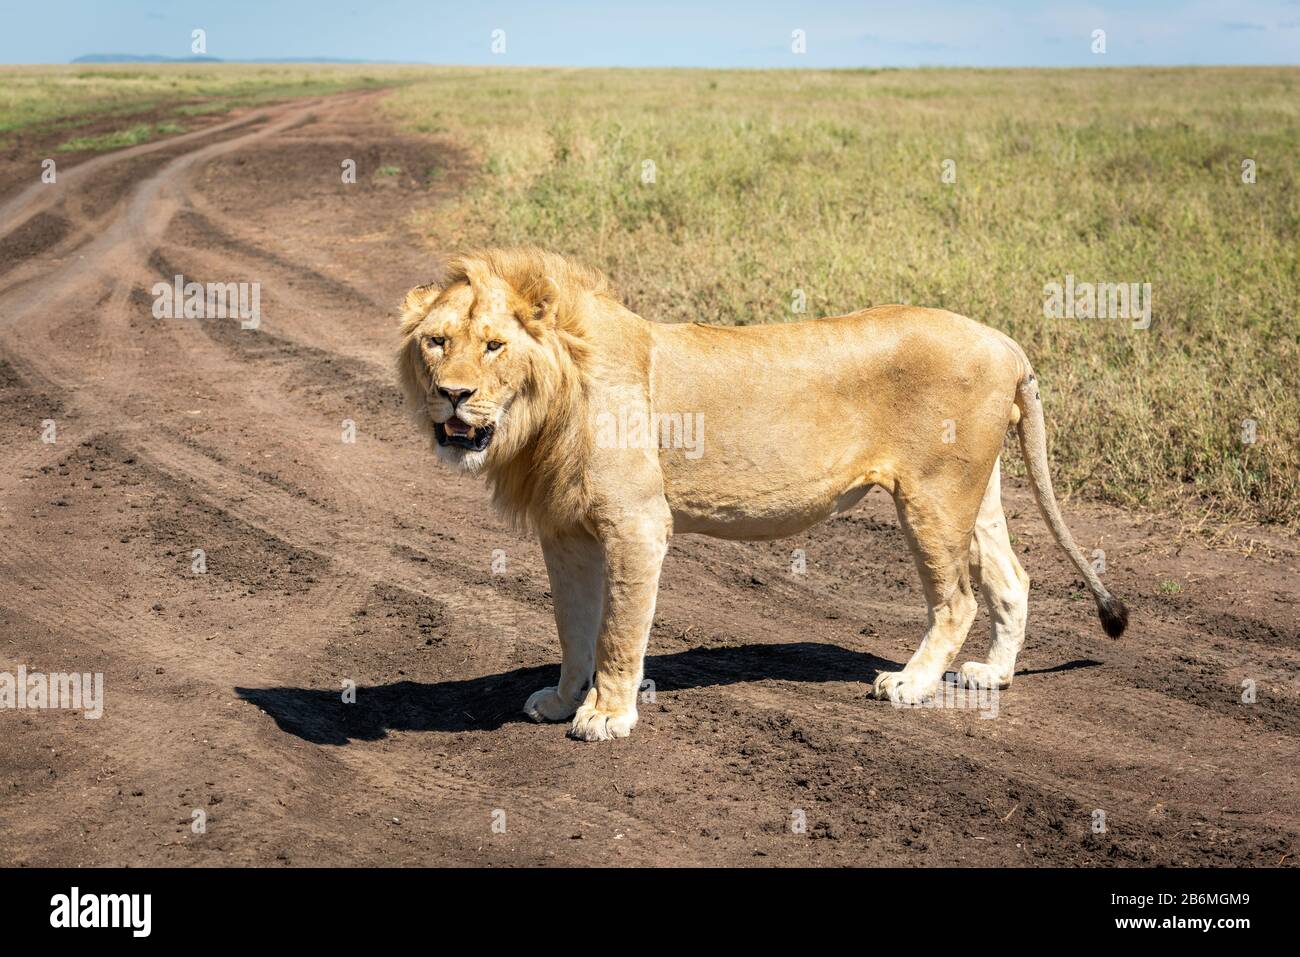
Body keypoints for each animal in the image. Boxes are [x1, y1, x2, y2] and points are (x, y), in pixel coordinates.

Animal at [397, 247, 1128, 742]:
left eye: (495, 346)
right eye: (437, 342)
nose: (453, 395)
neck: (544, 405)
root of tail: (1004, 339)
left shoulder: (637, 523)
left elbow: (617, 630)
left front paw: (606, 715)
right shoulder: (565, 531)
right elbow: (573, 625)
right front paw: (557, 700)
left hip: (933, 495)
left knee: (958, 599)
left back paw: (910, 684)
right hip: (975, 492)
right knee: (1012, 579)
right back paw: (991, 675)